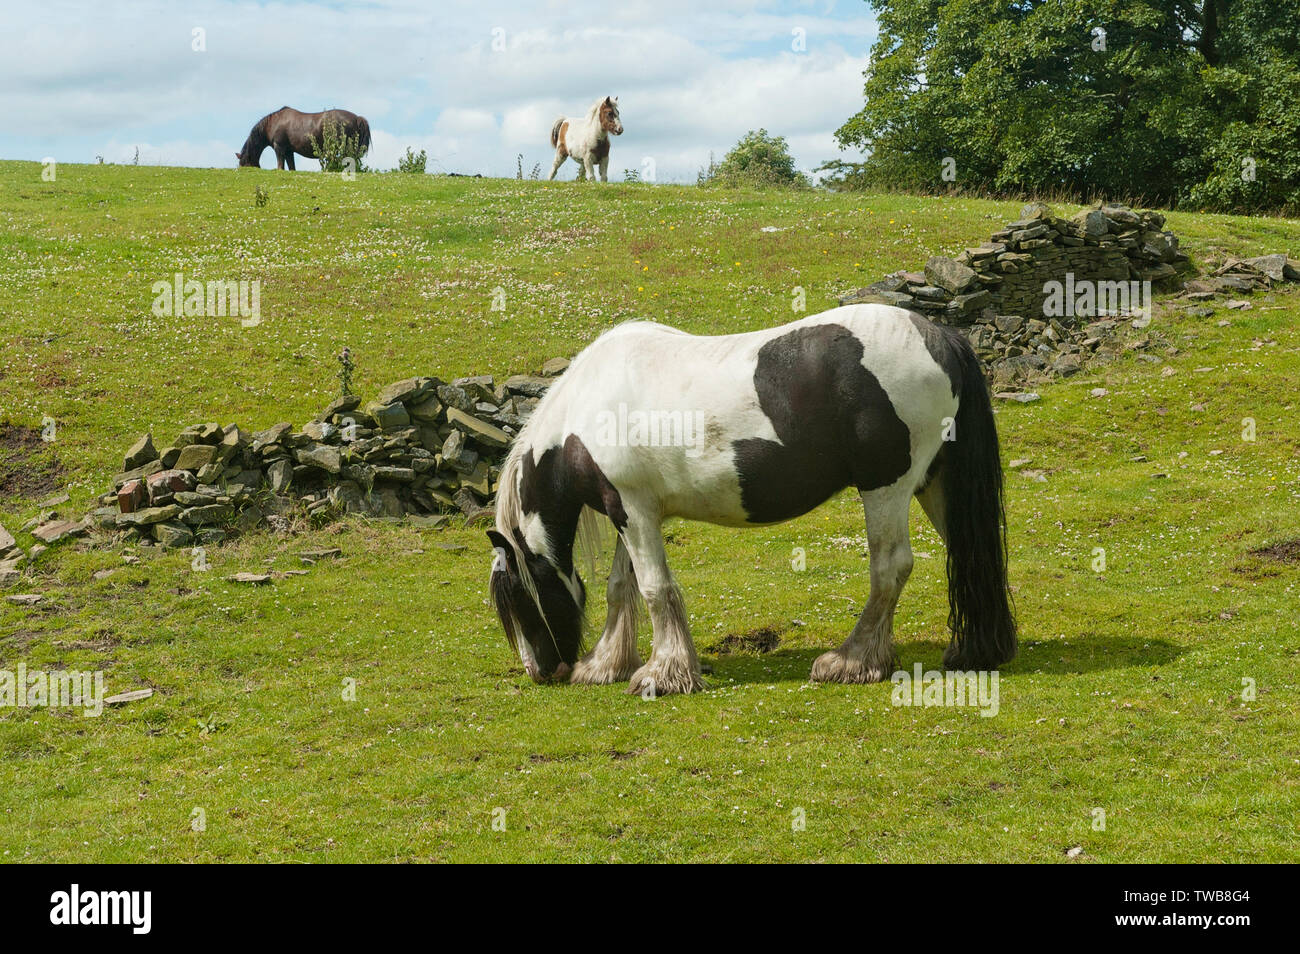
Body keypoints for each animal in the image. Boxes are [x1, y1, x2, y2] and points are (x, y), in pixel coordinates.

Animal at [236, 107, 371, 170]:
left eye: (244, 164)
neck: (273, 123)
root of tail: (357, 118)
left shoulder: (279, 148)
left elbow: (280, 166)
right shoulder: (289, 151)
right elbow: (292, 168)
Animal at [487, 303, 1017, 696]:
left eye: (518, 597)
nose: (541, 672)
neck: (588, 409)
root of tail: (940, 336)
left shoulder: (632, 512)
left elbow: (655, 589)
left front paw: (665, 676)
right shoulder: (631, 512)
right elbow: (624, 588)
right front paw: (606, 665)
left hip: (886, 487)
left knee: (891, 566)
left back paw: (852, 661)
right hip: (933, 483)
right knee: (968, 554)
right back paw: (975, 651)